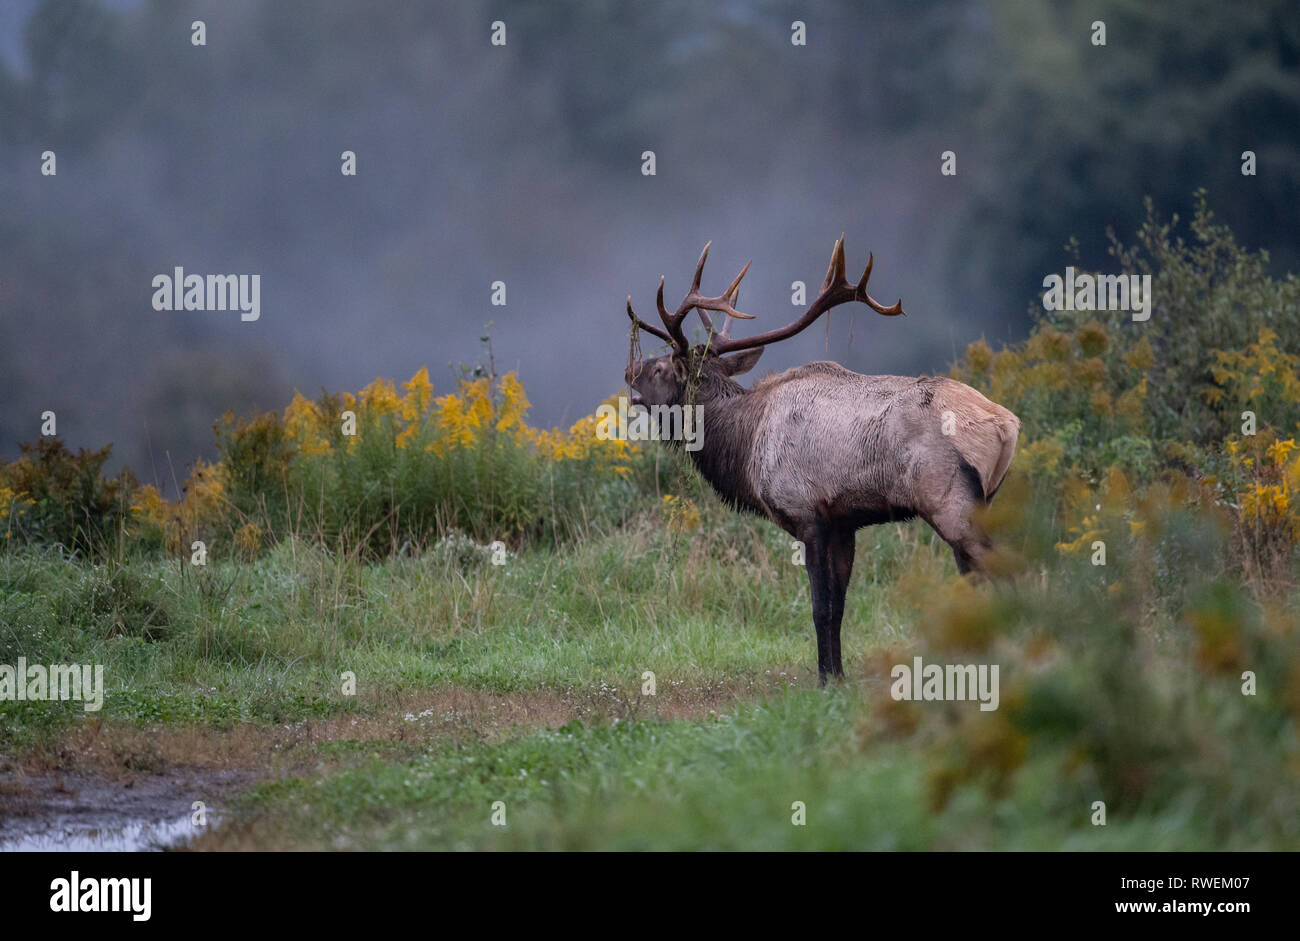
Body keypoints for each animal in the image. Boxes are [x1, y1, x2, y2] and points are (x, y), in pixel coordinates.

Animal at [623, 237, 1020, 684]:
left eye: (659, 367)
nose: (629, 371)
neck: (746, 442)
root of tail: (1006, 424)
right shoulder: (843, 522)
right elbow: (841, 608)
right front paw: (840, 674)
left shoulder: (806, 513)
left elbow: (820, 606)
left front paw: (825, 679)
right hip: (984, 499)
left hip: (949, 500)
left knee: (1003, 569)